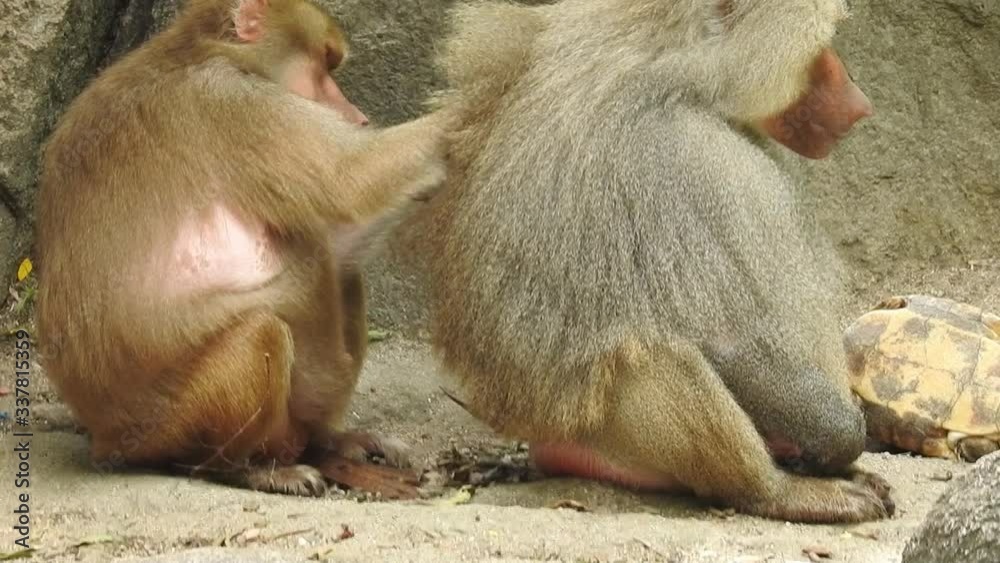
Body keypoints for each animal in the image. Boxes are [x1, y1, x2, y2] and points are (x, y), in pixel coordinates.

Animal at [34, 0, 451, 497]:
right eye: (323, 66)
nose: (359, 116)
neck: (204, 48)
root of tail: (103, 439)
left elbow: (338, 229)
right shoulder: (235, 101)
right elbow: (348, 180)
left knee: (337, 272)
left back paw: (329, 440)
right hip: (165, 427)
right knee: (263, 332)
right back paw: (243, 468)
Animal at [413, 0, 895, 522]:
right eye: (821, 51)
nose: (863, 105)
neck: (666, 63)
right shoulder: (694, 158)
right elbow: (725, 337)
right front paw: (843, 444)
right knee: (656, 357)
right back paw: (782, 491)